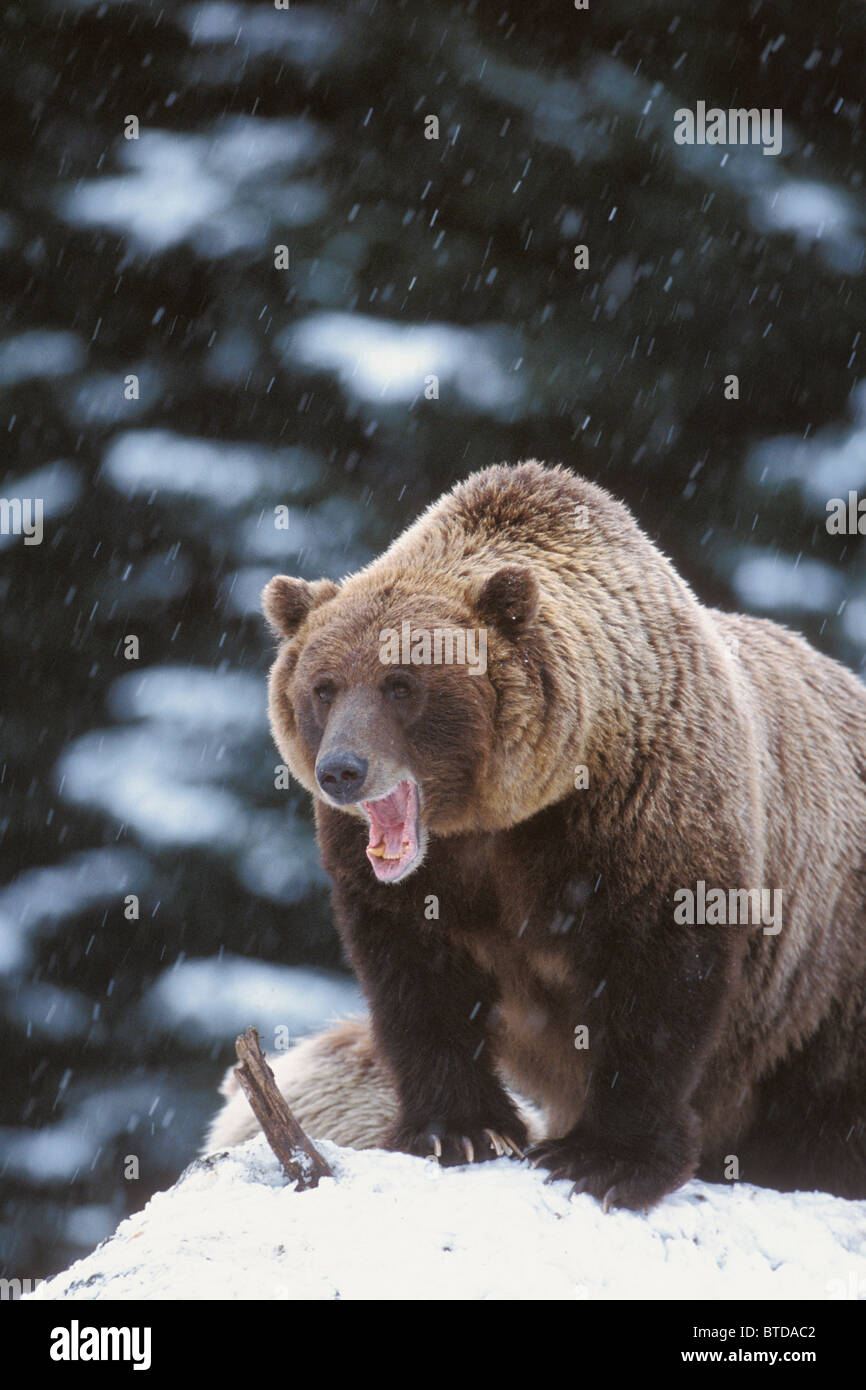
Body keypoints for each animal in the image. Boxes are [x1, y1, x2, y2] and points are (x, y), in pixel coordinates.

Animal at [210, 460, 866, 1209]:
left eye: (402, 684)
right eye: (323, 686)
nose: (342, 771)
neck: (502, 817)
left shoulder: (646, 818)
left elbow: (656, 991)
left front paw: (605, 1158)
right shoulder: (402, 879)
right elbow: (416, 984)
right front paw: (458, 1130)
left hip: (831, 968)